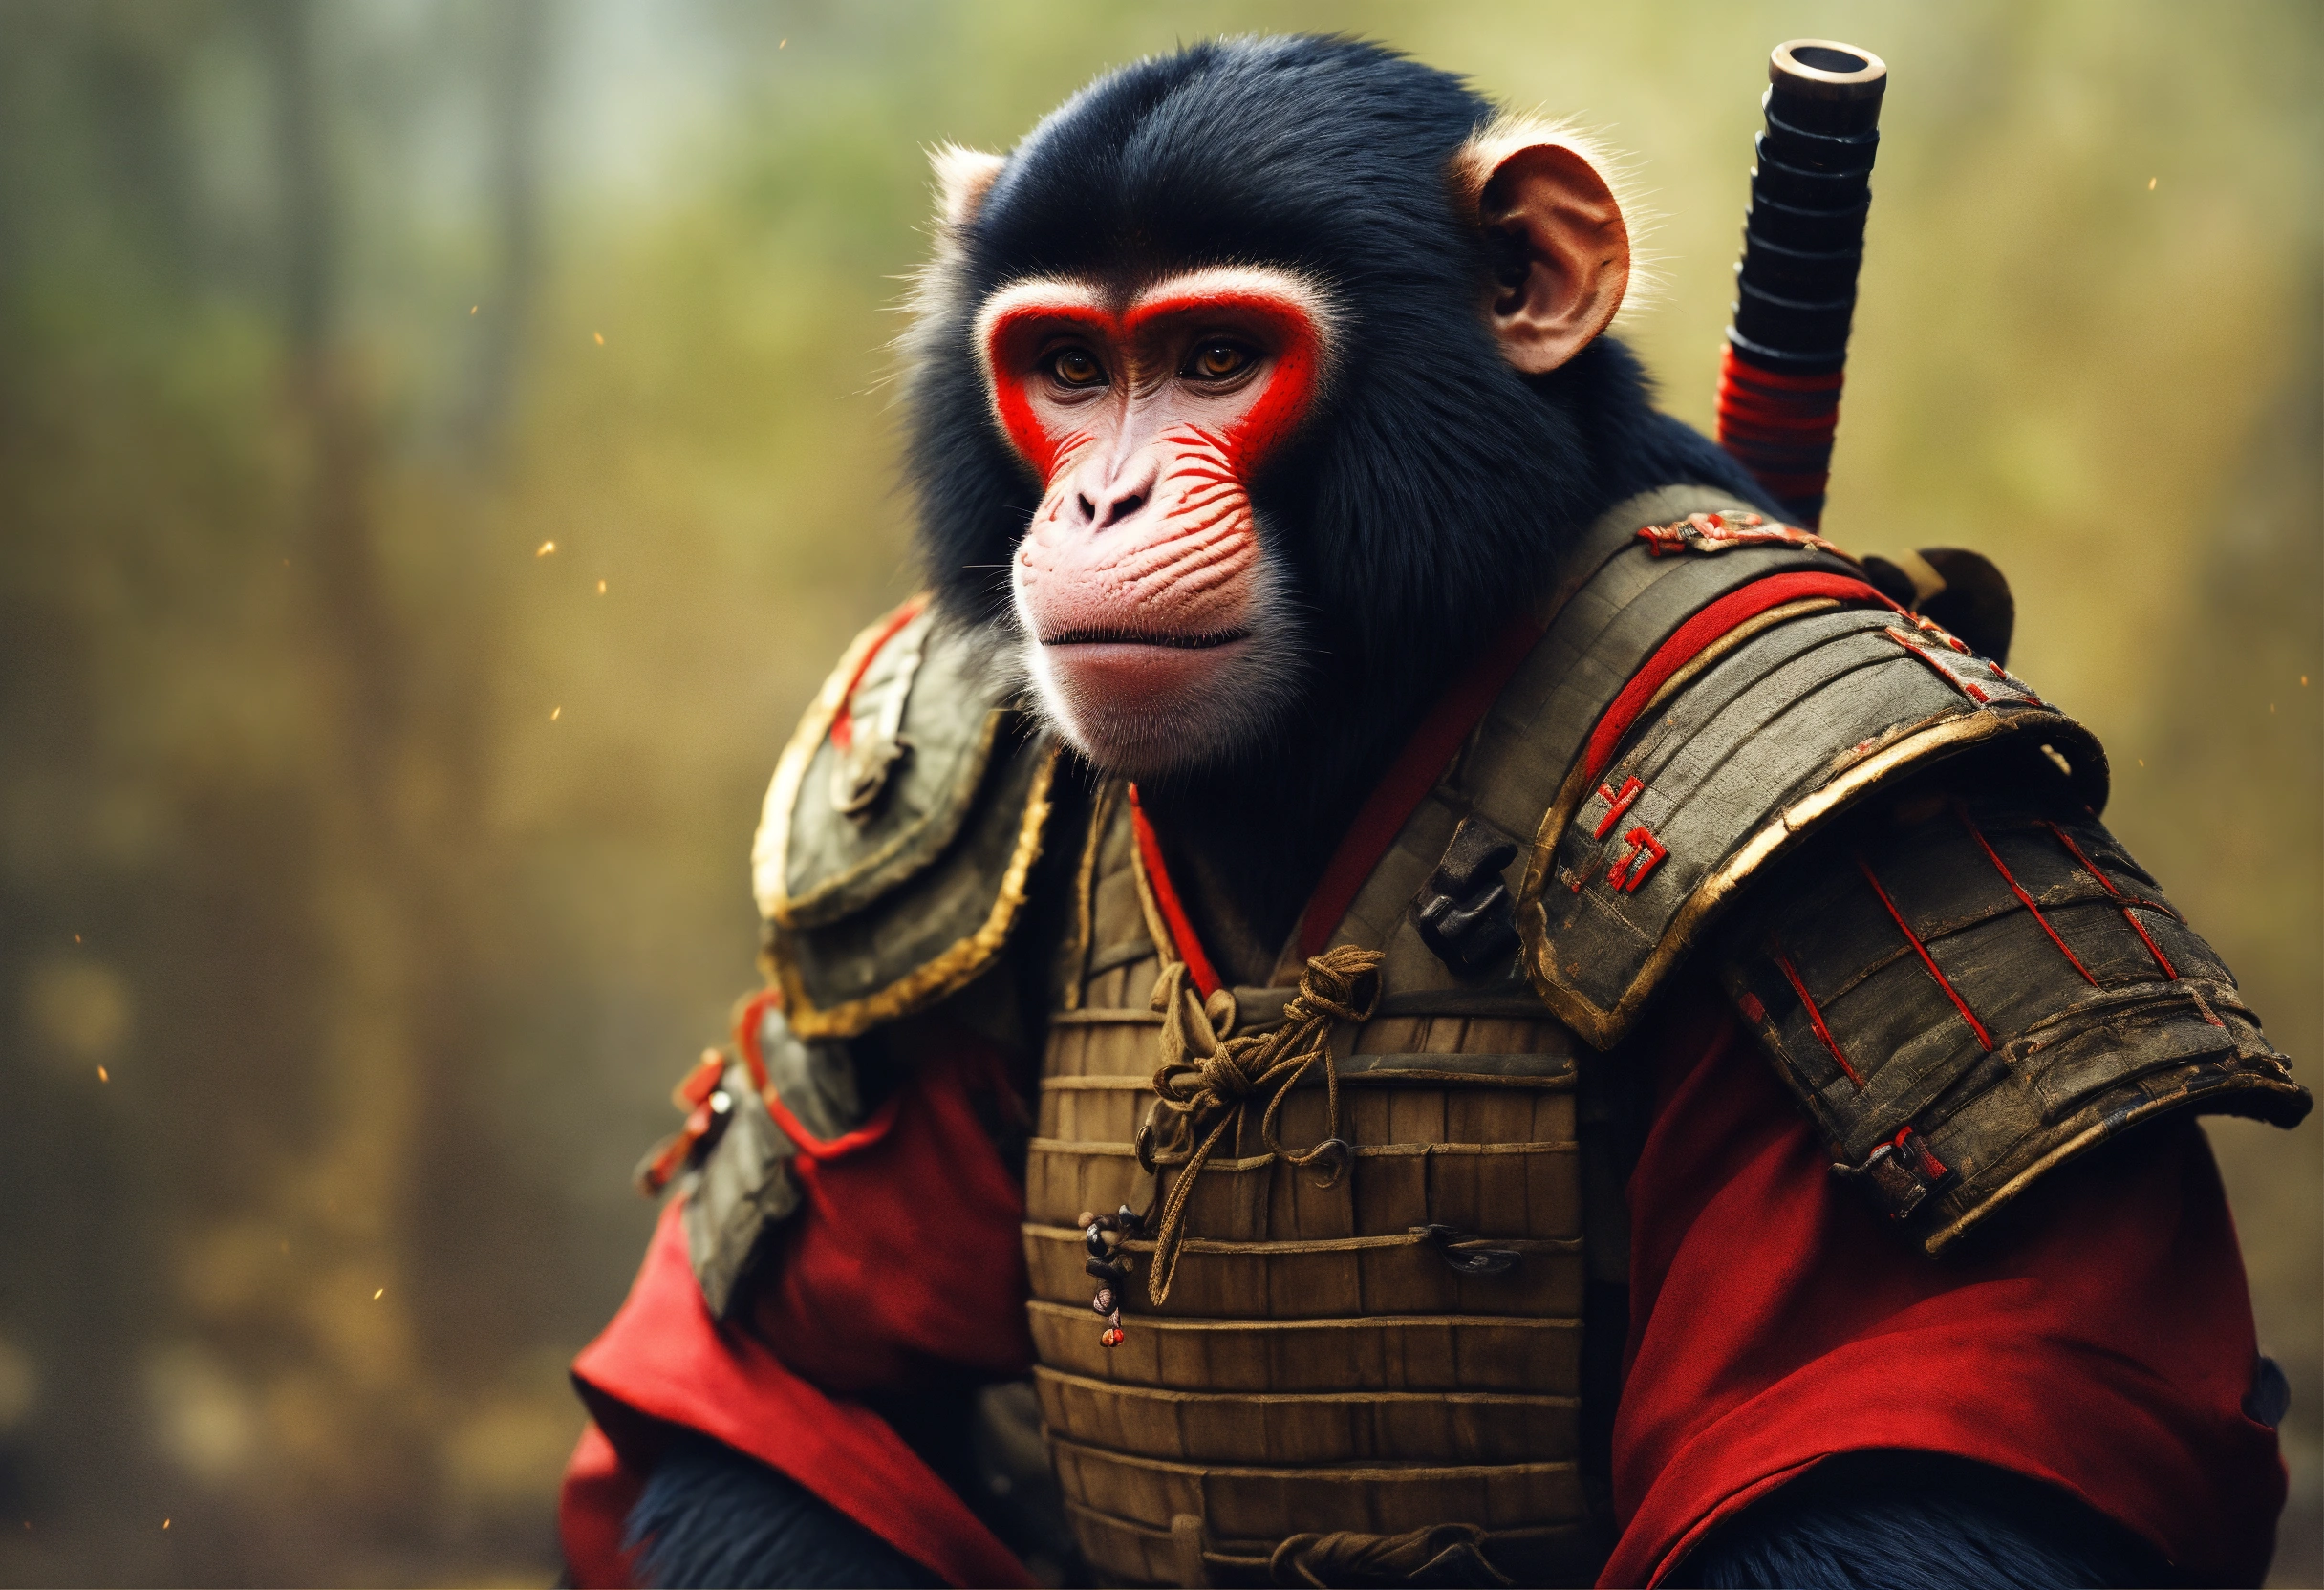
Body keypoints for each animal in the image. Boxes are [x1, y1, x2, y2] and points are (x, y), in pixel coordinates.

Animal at [561, 37, 2303, 1590]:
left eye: (1214, 359)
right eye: (1066, 369)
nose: (1104, 500)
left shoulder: (1880, 835)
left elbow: (1907, 1468)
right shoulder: (895, 879)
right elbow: (770, 1407)